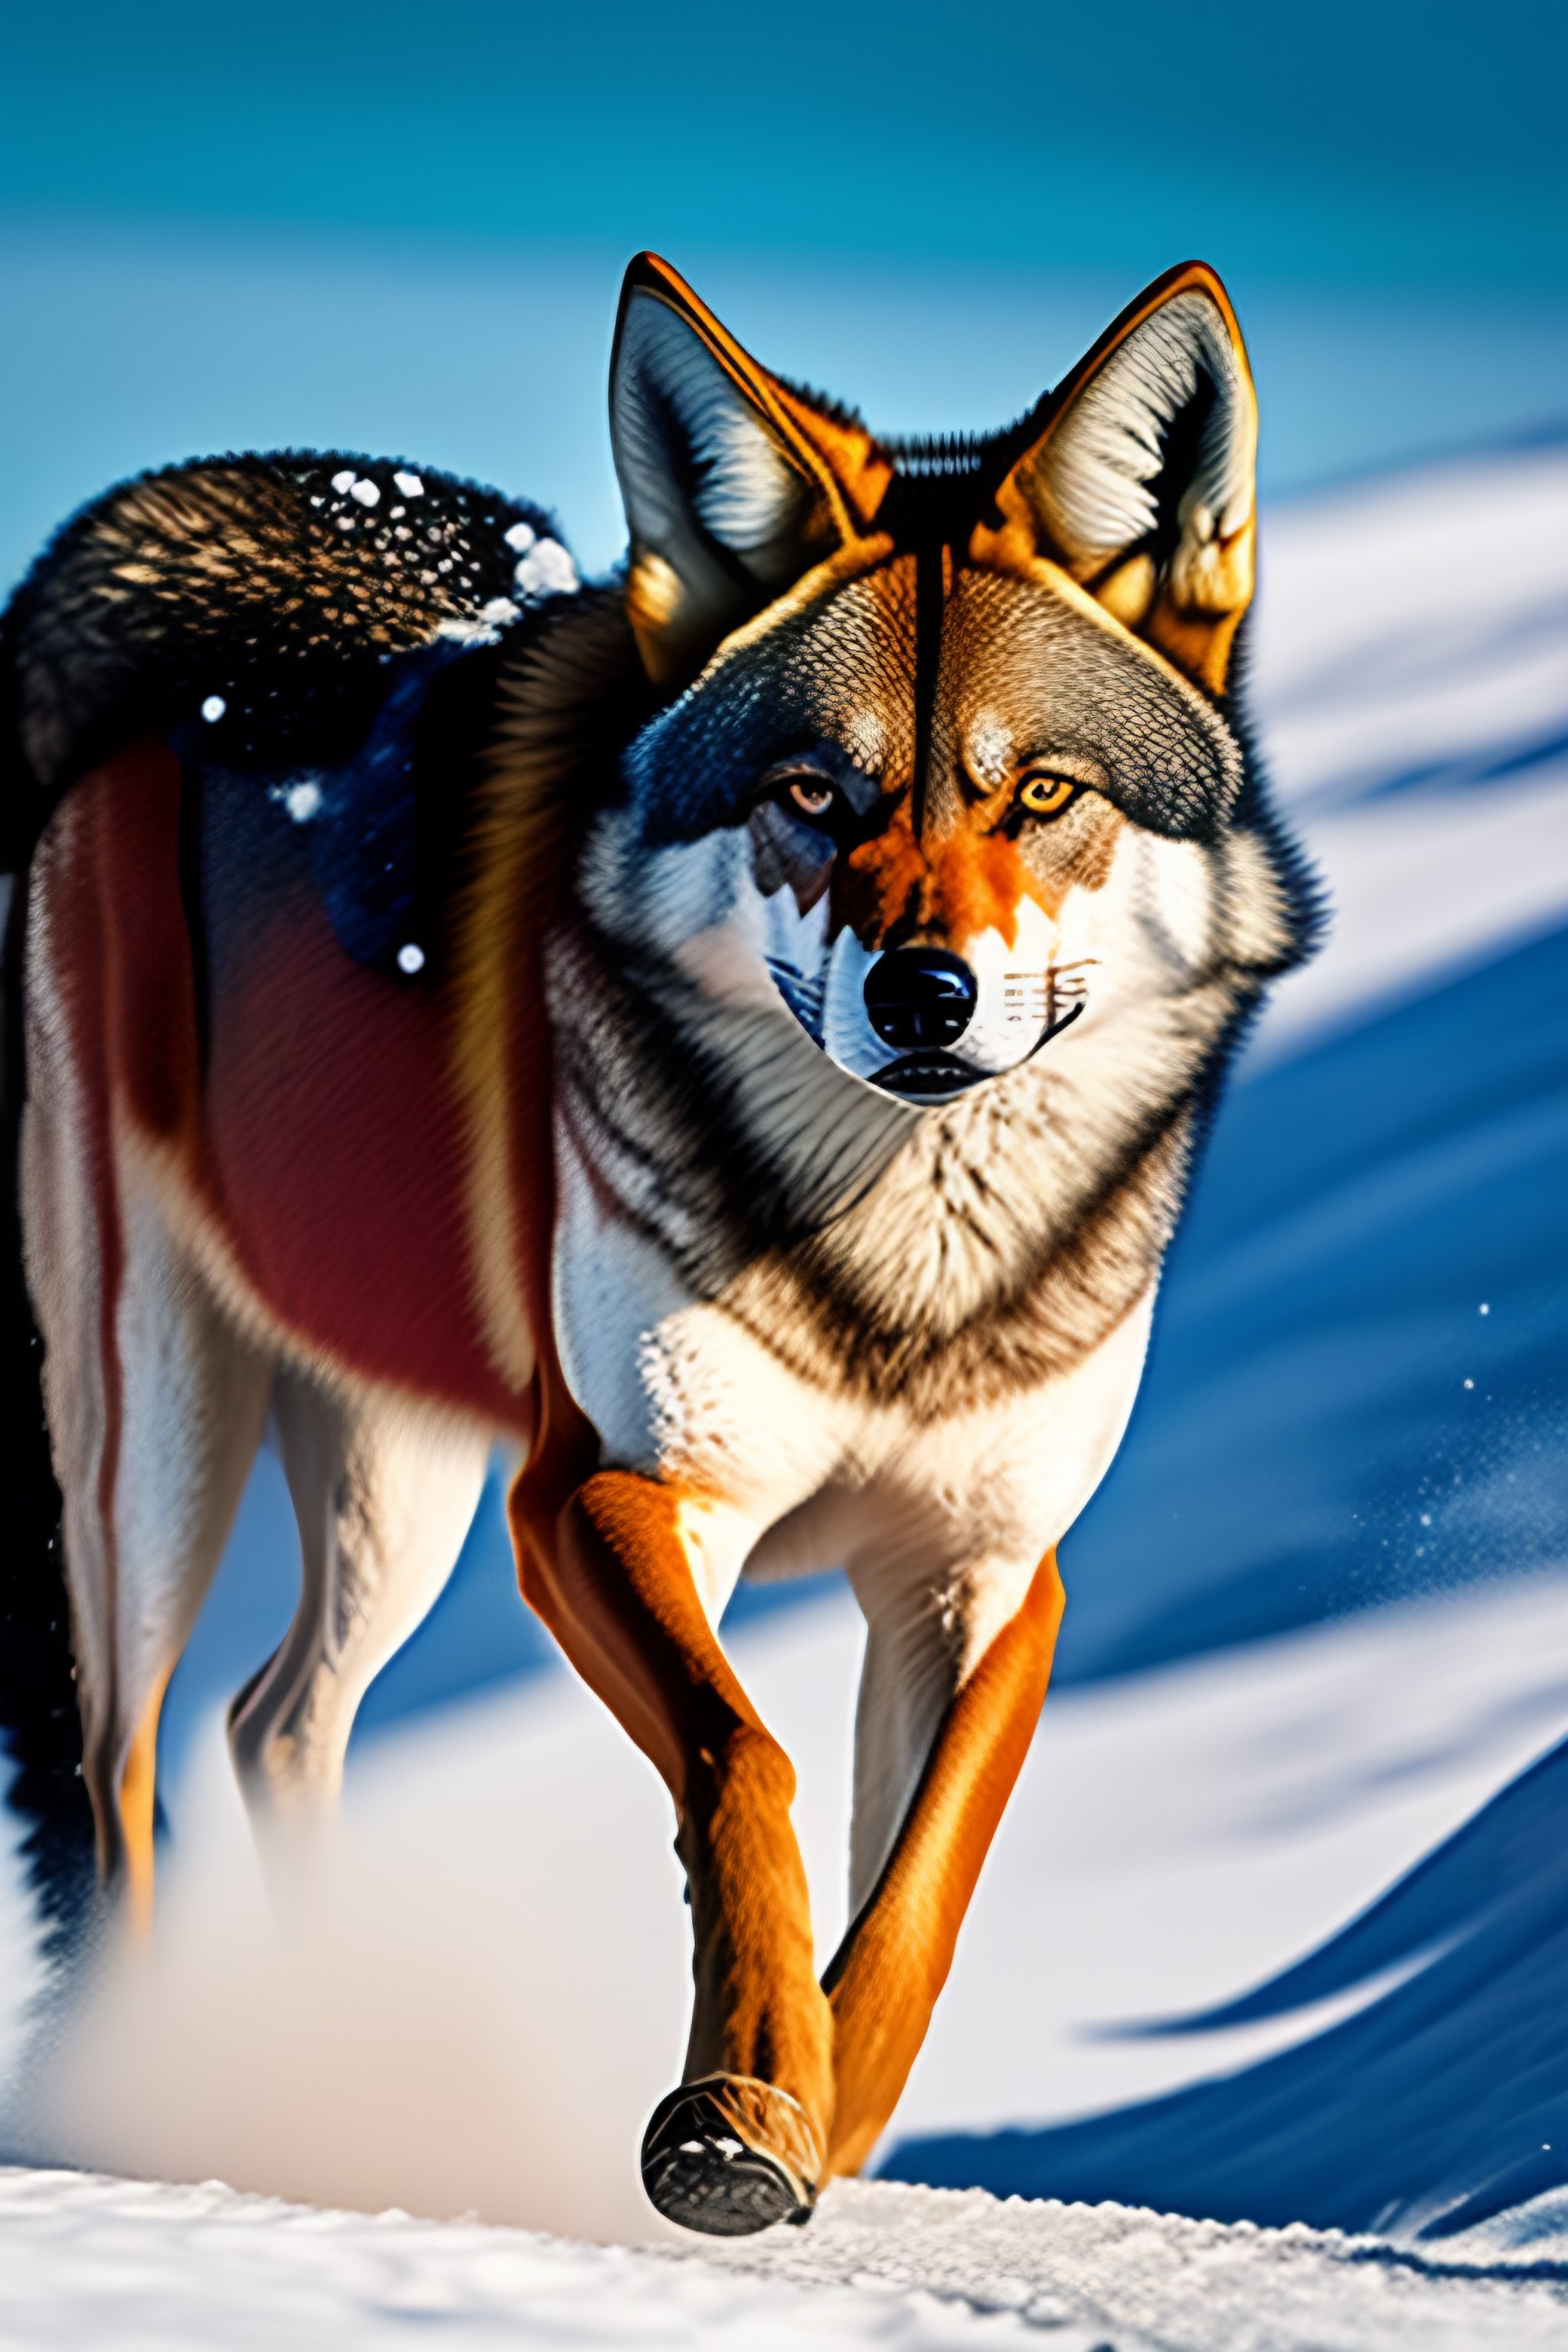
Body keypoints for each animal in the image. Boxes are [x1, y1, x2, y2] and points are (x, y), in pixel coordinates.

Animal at [0, 254, 1313, 2232]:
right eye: (811, 792)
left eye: (1039, 793)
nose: (922, 994)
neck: (896, 1271)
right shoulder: (605, 1493)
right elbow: (741, 1757)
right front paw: (740, 2104)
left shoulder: (986, 1569)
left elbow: (920, 1887)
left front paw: (828, 2100)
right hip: (164, 1449)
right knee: (129, 1767)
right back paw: (160, 2112)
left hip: (395, 1479)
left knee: (275, 1719)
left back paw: (331, 2072)